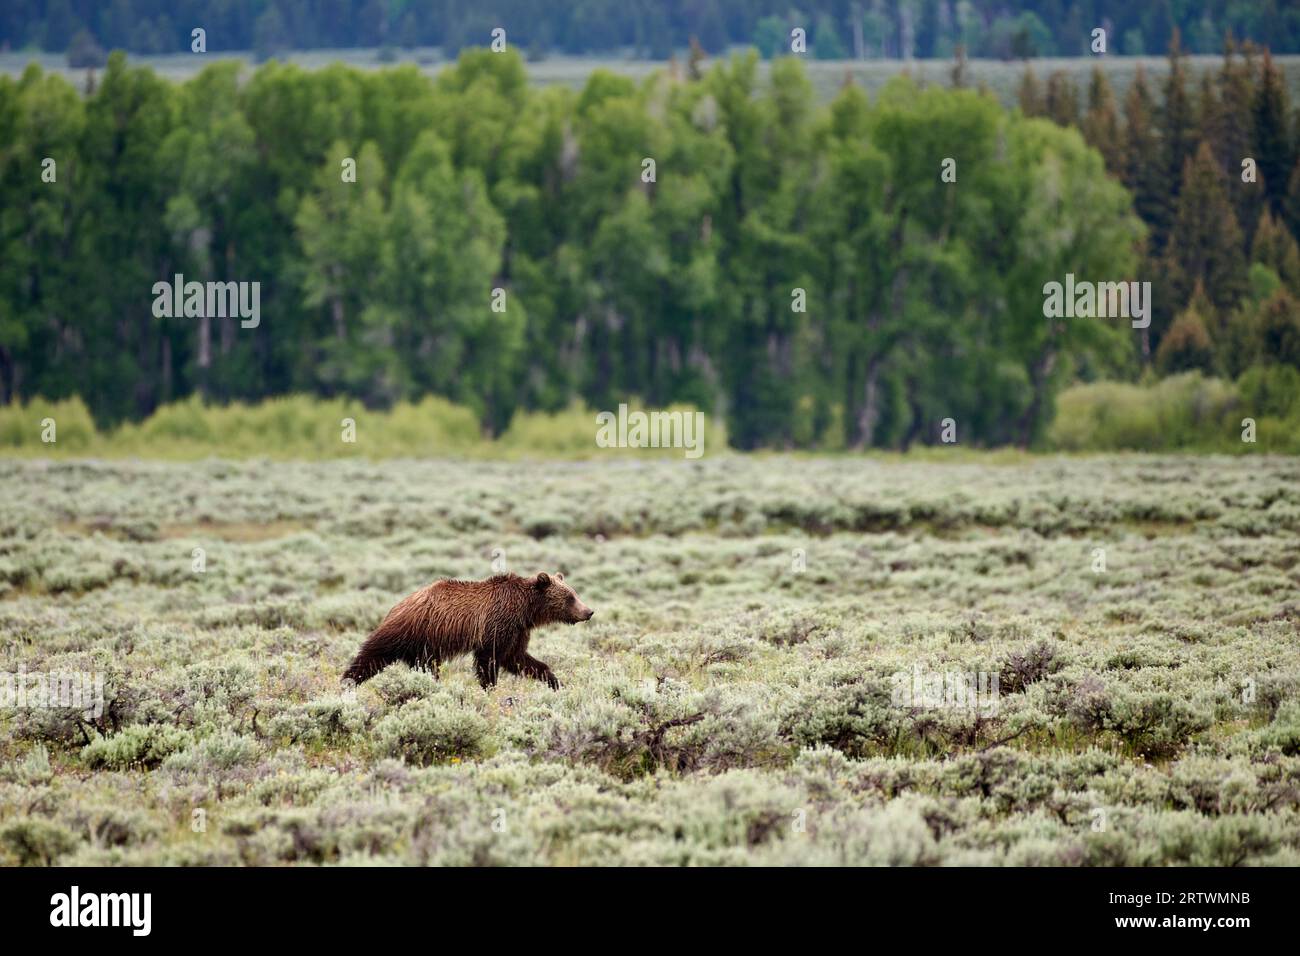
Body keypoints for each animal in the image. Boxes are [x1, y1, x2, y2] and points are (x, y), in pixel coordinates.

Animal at [341, 571, 593, 690]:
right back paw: (347, 683)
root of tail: (398, 604)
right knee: (371, 655)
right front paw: (489, 688)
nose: (589, 611)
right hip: (410, 631)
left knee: (425, 668)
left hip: (423, 648)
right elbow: (489, 660)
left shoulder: (517, 631)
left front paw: (554, 681)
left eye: (574, 593)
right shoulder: (497, 624)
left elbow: (518, 659)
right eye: (570, 598)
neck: (525, 609)